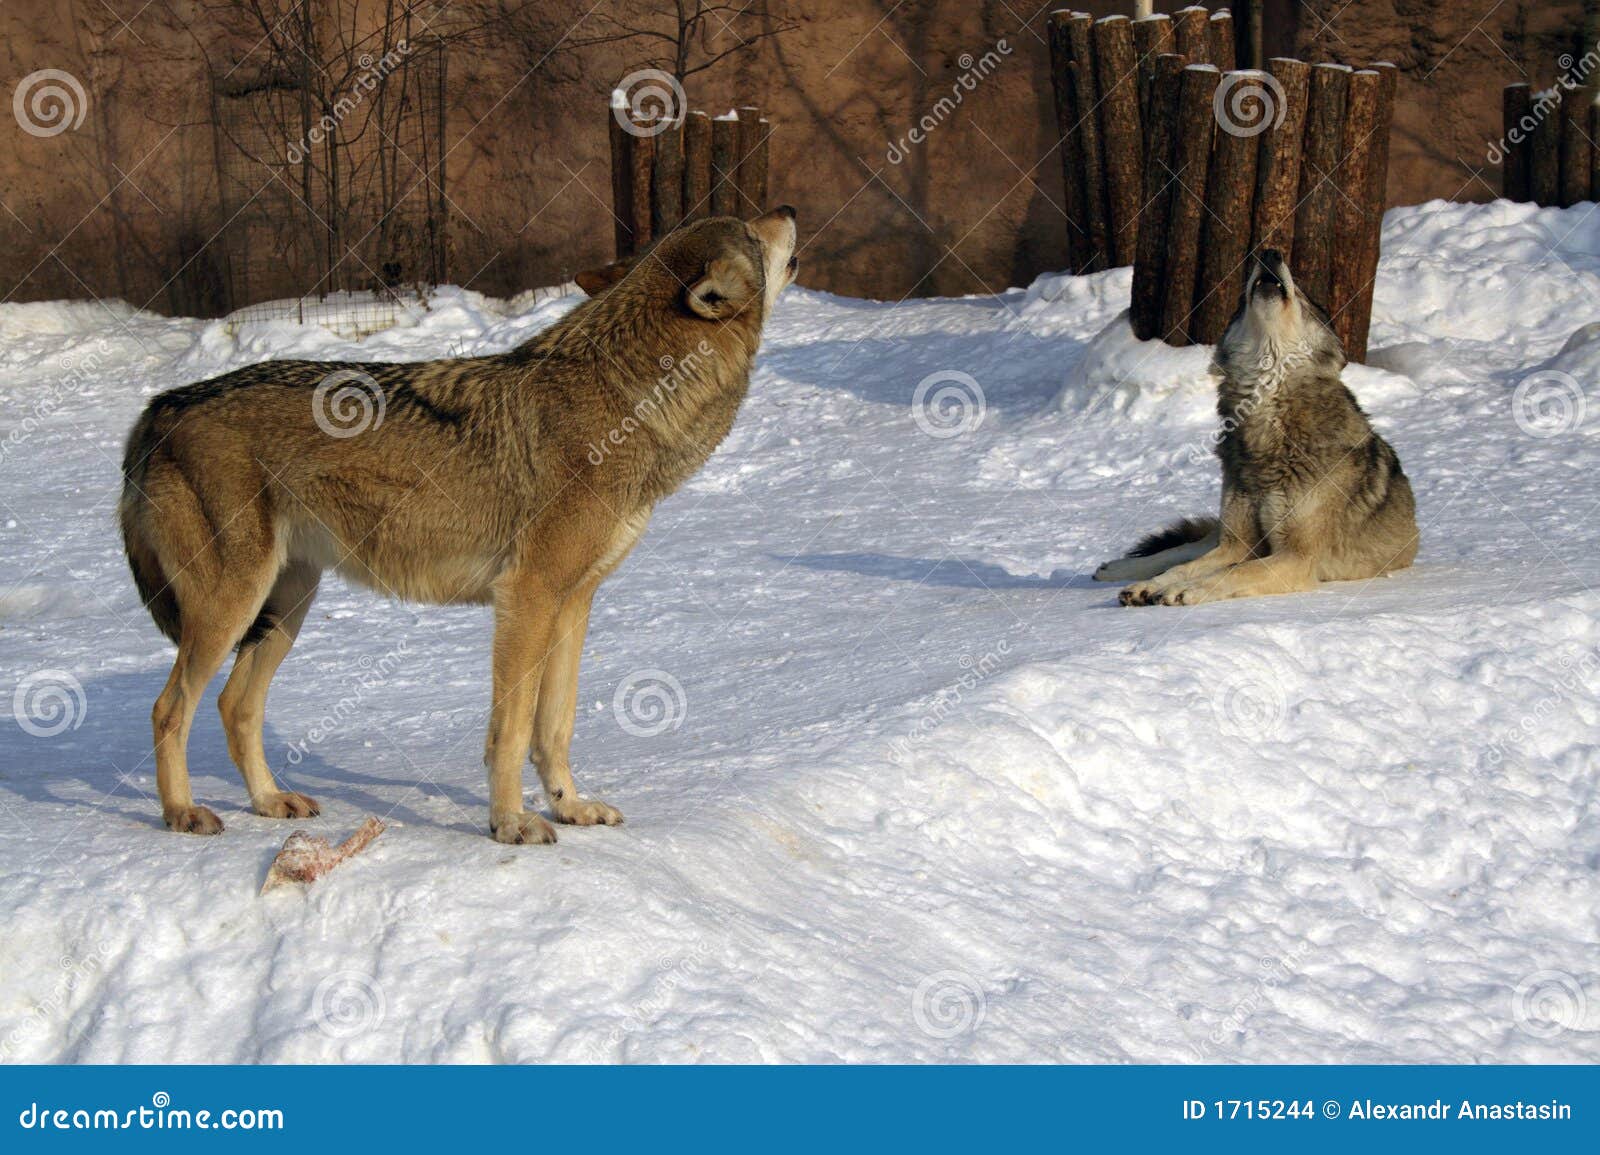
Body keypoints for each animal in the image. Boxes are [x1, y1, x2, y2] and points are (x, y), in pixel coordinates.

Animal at [119, 208, 799, 843]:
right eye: (750, 226)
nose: (789, 209)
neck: (626, 400)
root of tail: (159, 407)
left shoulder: (573, 602)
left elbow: (556, 725)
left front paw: (571, 807)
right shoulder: (526, 597)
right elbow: (512, 731)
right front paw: (511, 823)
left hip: (286, 605)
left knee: (235, 705)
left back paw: (269, 801)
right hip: (233, 606)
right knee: (166, 708)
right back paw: (182, 813)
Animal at [1095, 249, 1418, 606]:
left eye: (1303, 294)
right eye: (1241, 301)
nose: (1270, 252)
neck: (1268, 422)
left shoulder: (1294, 557)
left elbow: (1232, 572)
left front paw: (1183, 591)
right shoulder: (1237, 543)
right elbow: (1190, 567)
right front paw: (1157, 585)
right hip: (1222, 532)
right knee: (1184, 549)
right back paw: (1121, 572)